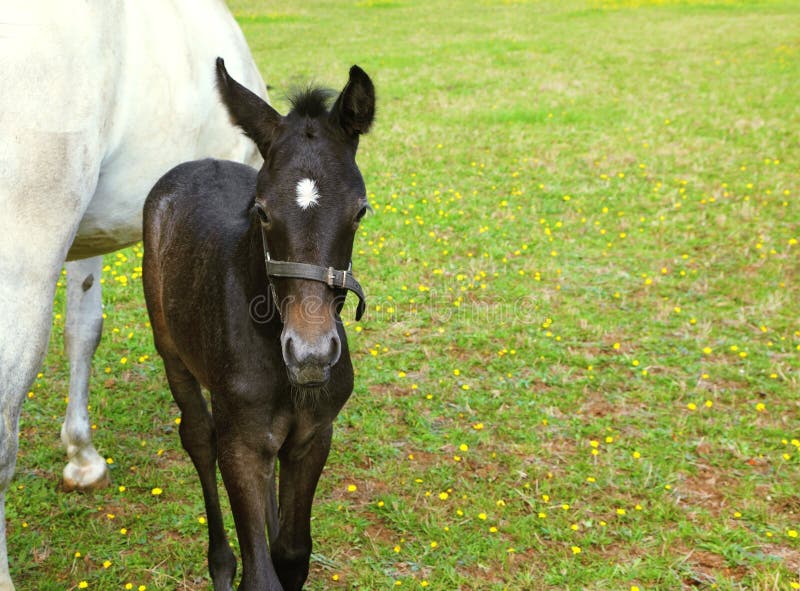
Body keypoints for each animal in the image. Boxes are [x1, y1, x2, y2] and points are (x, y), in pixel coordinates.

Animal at [141, 58, 375, 591]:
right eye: (263, 212)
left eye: (360, 211)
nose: (310, 355)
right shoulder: (241, 446)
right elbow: (261, 575)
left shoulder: (314, 436)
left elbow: (291, 554)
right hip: (172, 354)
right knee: (197, 436)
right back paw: (220, 563)